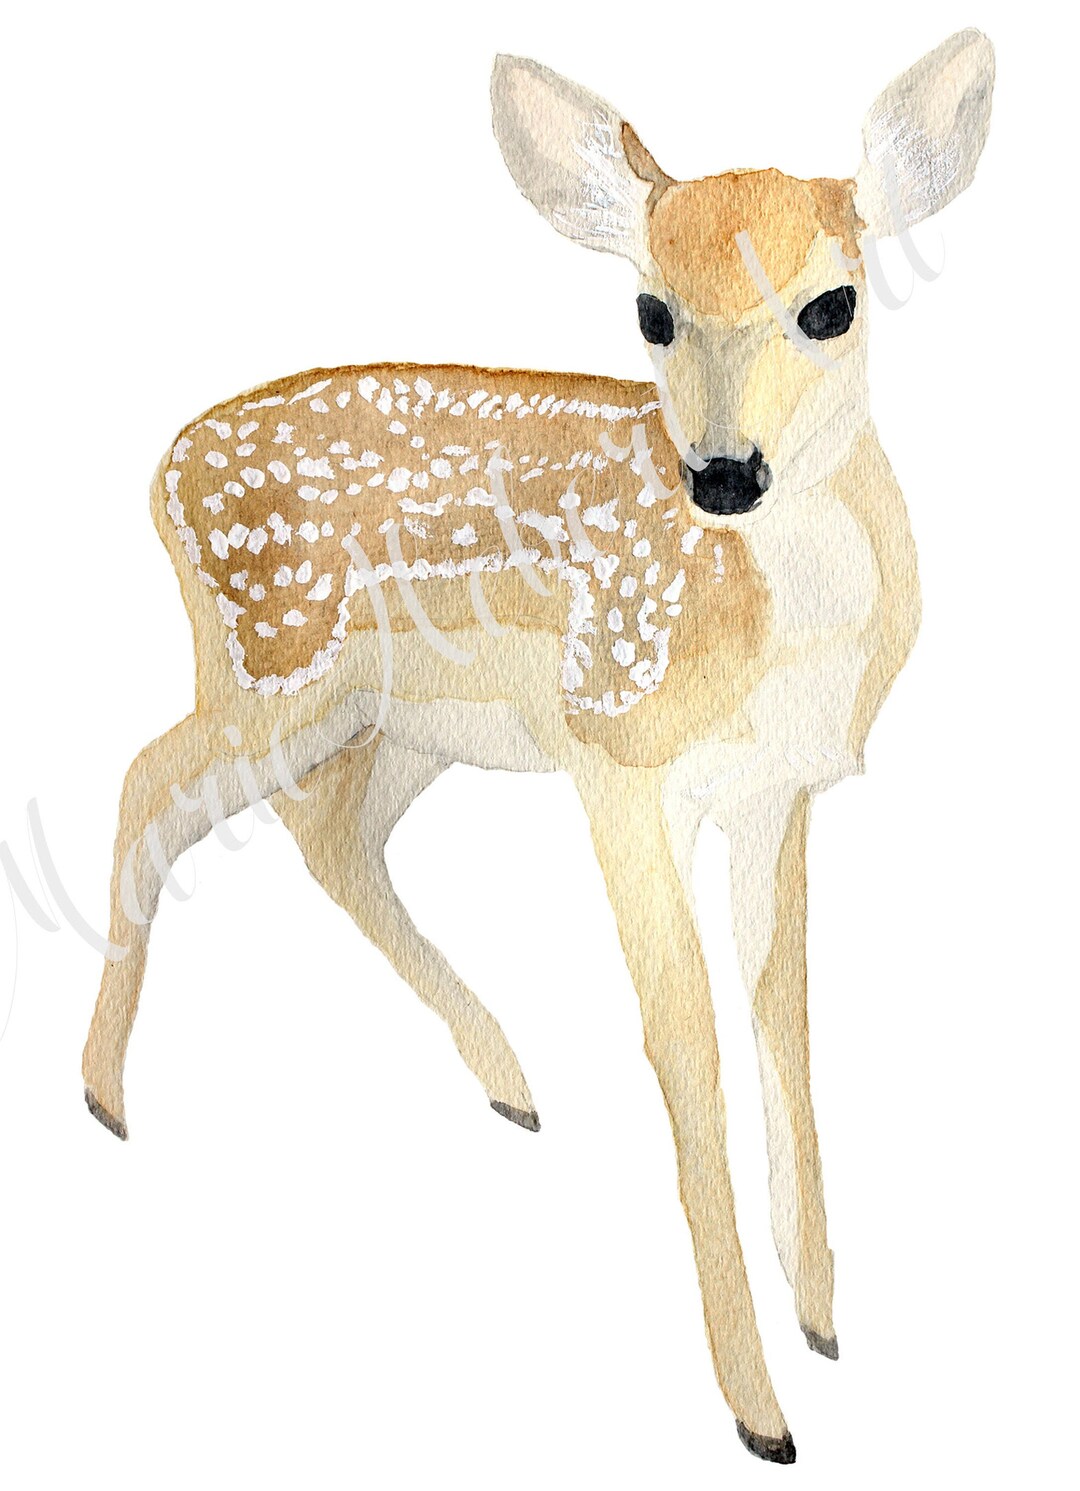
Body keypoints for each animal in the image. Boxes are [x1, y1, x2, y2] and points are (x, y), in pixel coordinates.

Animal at [81, 31, 994, 1463]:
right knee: (150, 780)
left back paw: (508, 1083)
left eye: (832, 304)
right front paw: (760, 1411)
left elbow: (785, 1025)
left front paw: (825, 1318)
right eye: (651, 314)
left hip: (398, 718)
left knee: (325, 833)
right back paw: (107, 1100)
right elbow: (687, 1042)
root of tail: (164, 463)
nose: (722, 475)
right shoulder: (617, 754)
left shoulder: (776, 790)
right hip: (275, 666)